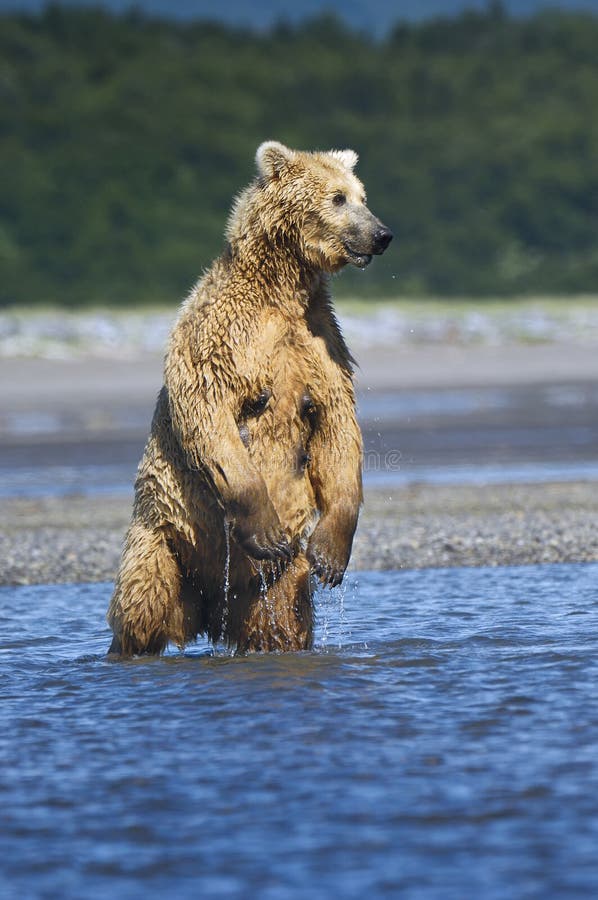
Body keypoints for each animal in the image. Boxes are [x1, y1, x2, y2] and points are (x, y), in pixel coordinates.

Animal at [107, 141, 392, 656]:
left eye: (363, 196)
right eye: (338, 197)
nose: (381, 235)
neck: (283, 287)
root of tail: (207, 609)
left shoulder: (322, 345)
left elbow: (338, 431)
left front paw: (330, 557)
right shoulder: (221, 336)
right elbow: (210, 414)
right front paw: (266, 531)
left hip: (275, 582)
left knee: (281, 620)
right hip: (163, 534)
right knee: (141, 605)